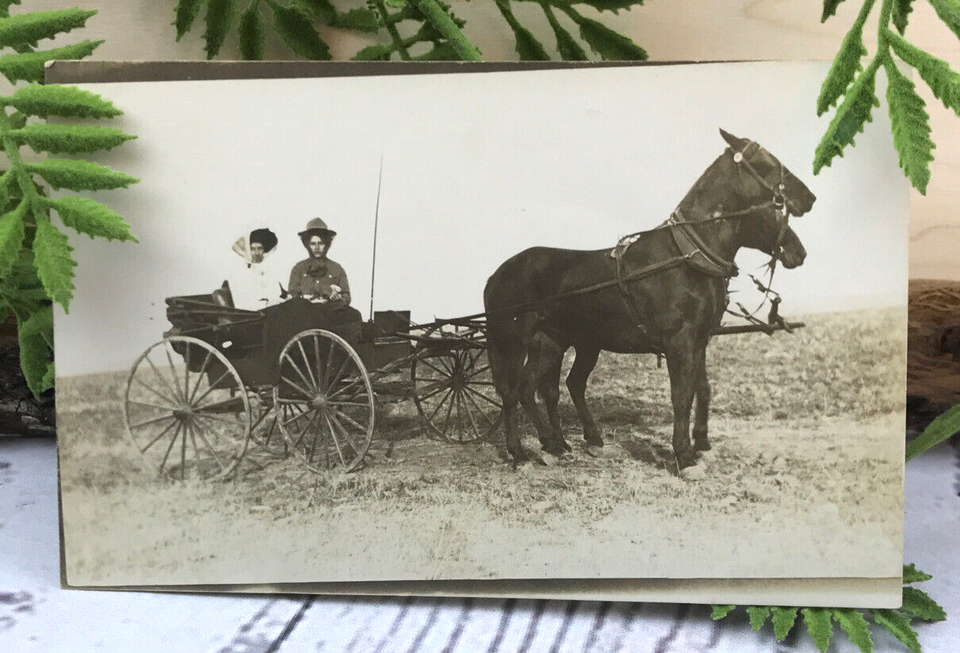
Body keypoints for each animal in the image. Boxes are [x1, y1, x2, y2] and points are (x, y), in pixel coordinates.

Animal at [483, 129, 816, 469]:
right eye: (765, 163)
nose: (809, 198)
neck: (686, 257)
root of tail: (495, 276)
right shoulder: (679, 343)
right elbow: (681, 396)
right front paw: (684, 455)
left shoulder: (700, 340)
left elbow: (702, 389)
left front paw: (700, 442)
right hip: (513, 341)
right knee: (511, 392)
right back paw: (520, 452)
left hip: (553, 341)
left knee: (539, 388)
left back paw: (558, 442)